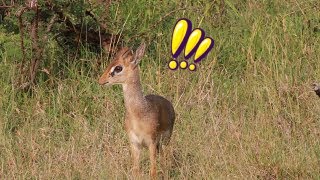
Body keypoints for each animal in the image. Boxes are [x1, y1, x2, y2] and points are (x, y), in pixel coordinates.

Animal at [99, 42, 176, 179]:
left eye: (118, 68)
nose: (101, 81)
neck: (139, 112)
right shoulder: (135, 144)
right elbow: (136, 171)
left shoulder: (151, 142)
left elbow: (153, 172)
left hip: (164, 142)